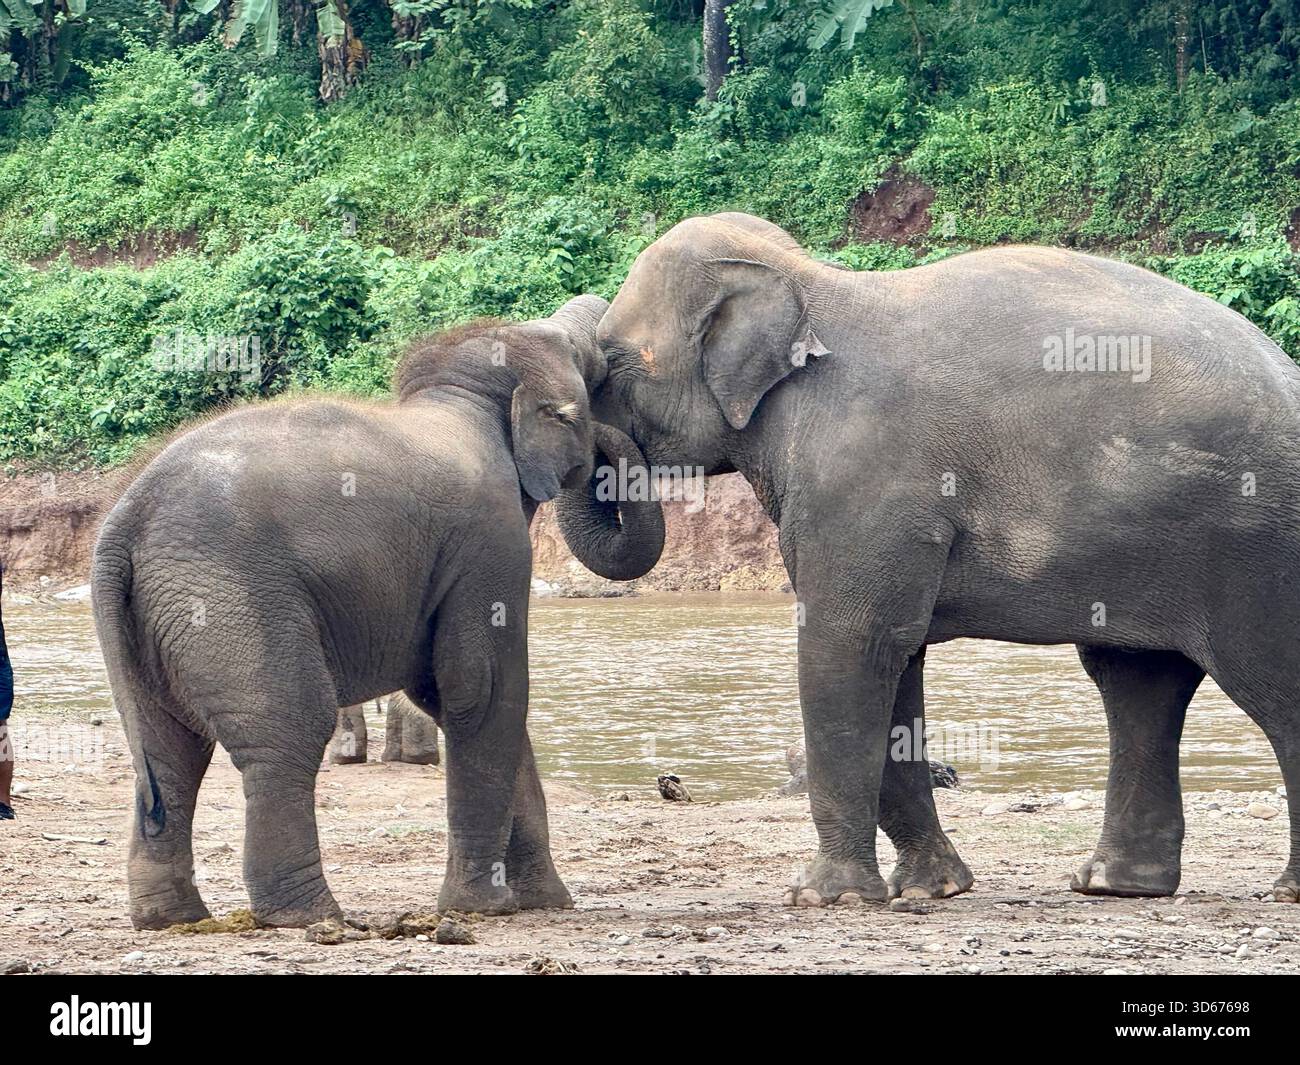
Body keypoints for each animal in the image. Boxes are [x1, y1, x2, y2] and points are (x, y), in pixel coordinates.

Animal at [92, 295, 665, 929]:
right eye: (586, 370)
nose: (614, 436)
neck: (463, 398)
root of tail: (123, 521)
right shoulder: (489, 540)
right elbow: (485, 689)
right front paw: (481, 909)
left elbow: (451, 694)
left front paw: (543, 902)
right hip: (228, 595)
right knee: (287, 729)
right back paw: (314, 918)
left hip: (156, 618)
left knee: (168, 750)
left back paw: (172, 919)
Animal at [592, 211, 1300, 906]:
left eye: (614, 366)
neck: (806, 281)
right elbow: (893, 661)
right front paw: (933, 889)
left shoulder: (863, 481)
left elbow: (849, 644)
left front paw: (824, 896)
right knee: (1138, 680)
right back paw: (1115, 886)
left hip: (1255, 547)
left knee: (1262, 684)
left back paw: (1280, 890)